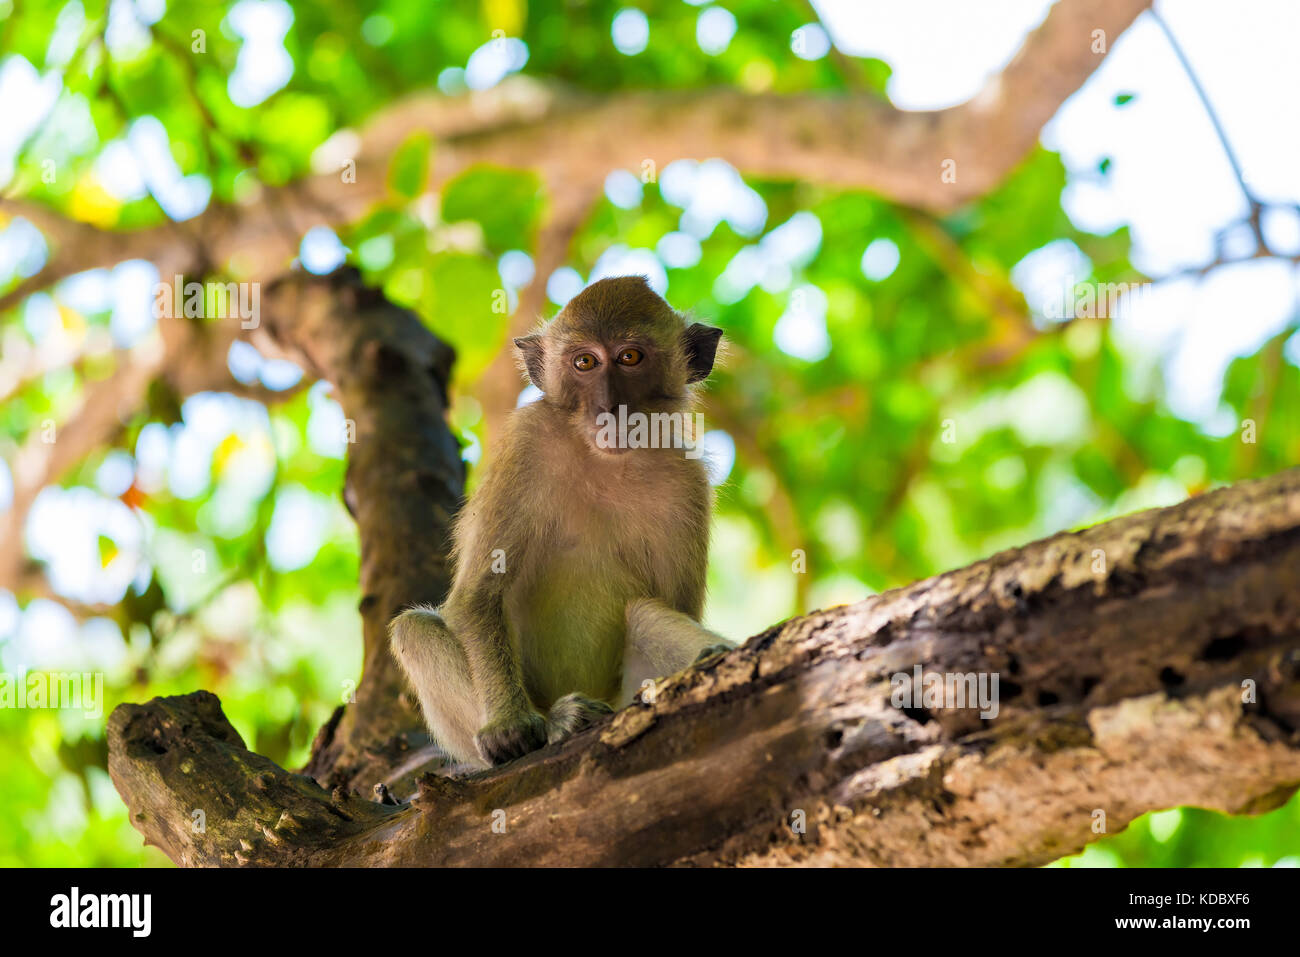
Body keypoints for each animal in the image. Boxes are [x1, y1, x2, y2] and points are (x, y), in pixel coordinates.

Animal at [389, 275, 733, 768]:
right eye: (584, 362)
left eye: (630, 357)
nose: (609, 407)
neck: (606, 461)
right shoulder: (526, 443)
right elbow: (478, 595)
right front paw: (510, 724)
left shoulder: (688, 480)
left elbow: (674, 604)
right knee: (414, 630)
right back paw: (554, 723)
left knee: (645, 613)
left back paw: (713, 654)